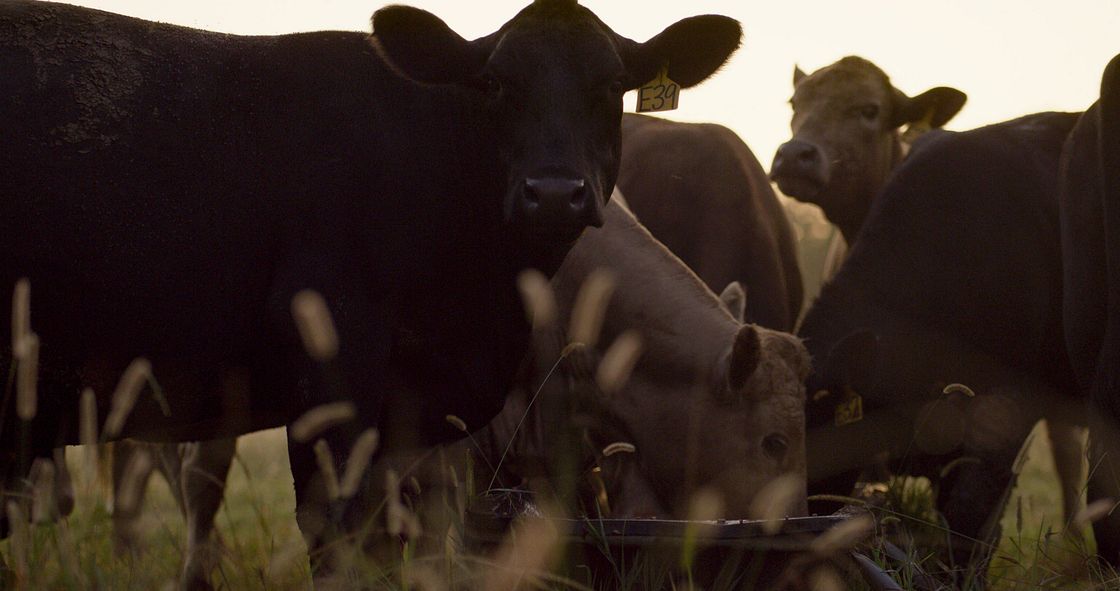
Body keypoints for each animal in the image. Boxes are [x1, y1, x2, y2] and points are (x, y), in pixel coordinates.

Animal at [0, 0, 741, 577]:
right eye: (494, 82)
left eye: (612, 83)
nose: (555, 192)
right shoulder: (333, 366)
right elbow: (335, 535)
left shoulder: (404, 420)